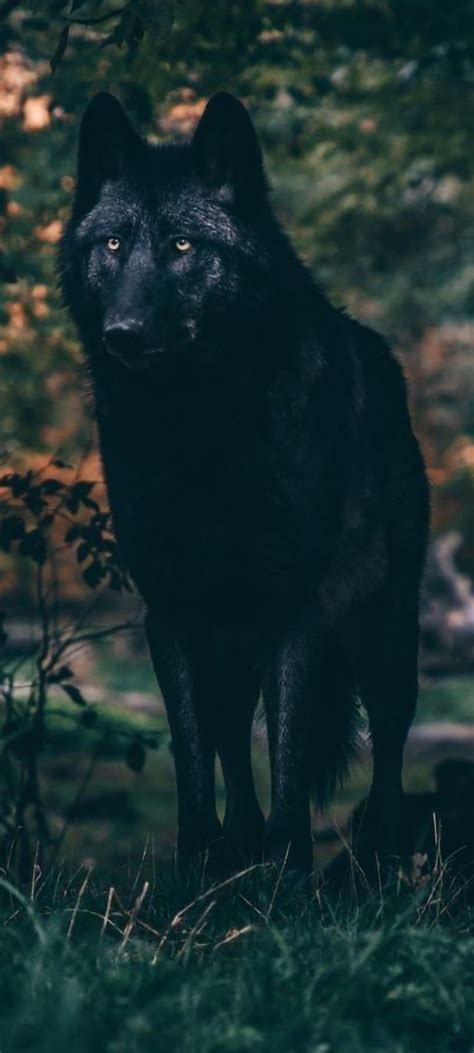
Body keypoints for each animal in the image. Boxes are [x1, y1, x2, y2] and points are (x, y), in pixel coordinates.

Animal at [60, 91, 429, 877]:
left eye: (181, 247)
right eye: (113, 246)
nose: (122, 332)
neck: (198, 433)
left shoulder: (294, 610)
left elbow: (288, 756)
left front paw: (287, 879)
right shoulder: (171, 609)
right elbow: (196, 758)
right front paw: (201, 871)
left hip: (386, 632)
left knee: (388, 742)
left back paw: (377, 863)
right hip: (229, 640)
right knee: (230, 736)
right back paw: (240, 853)